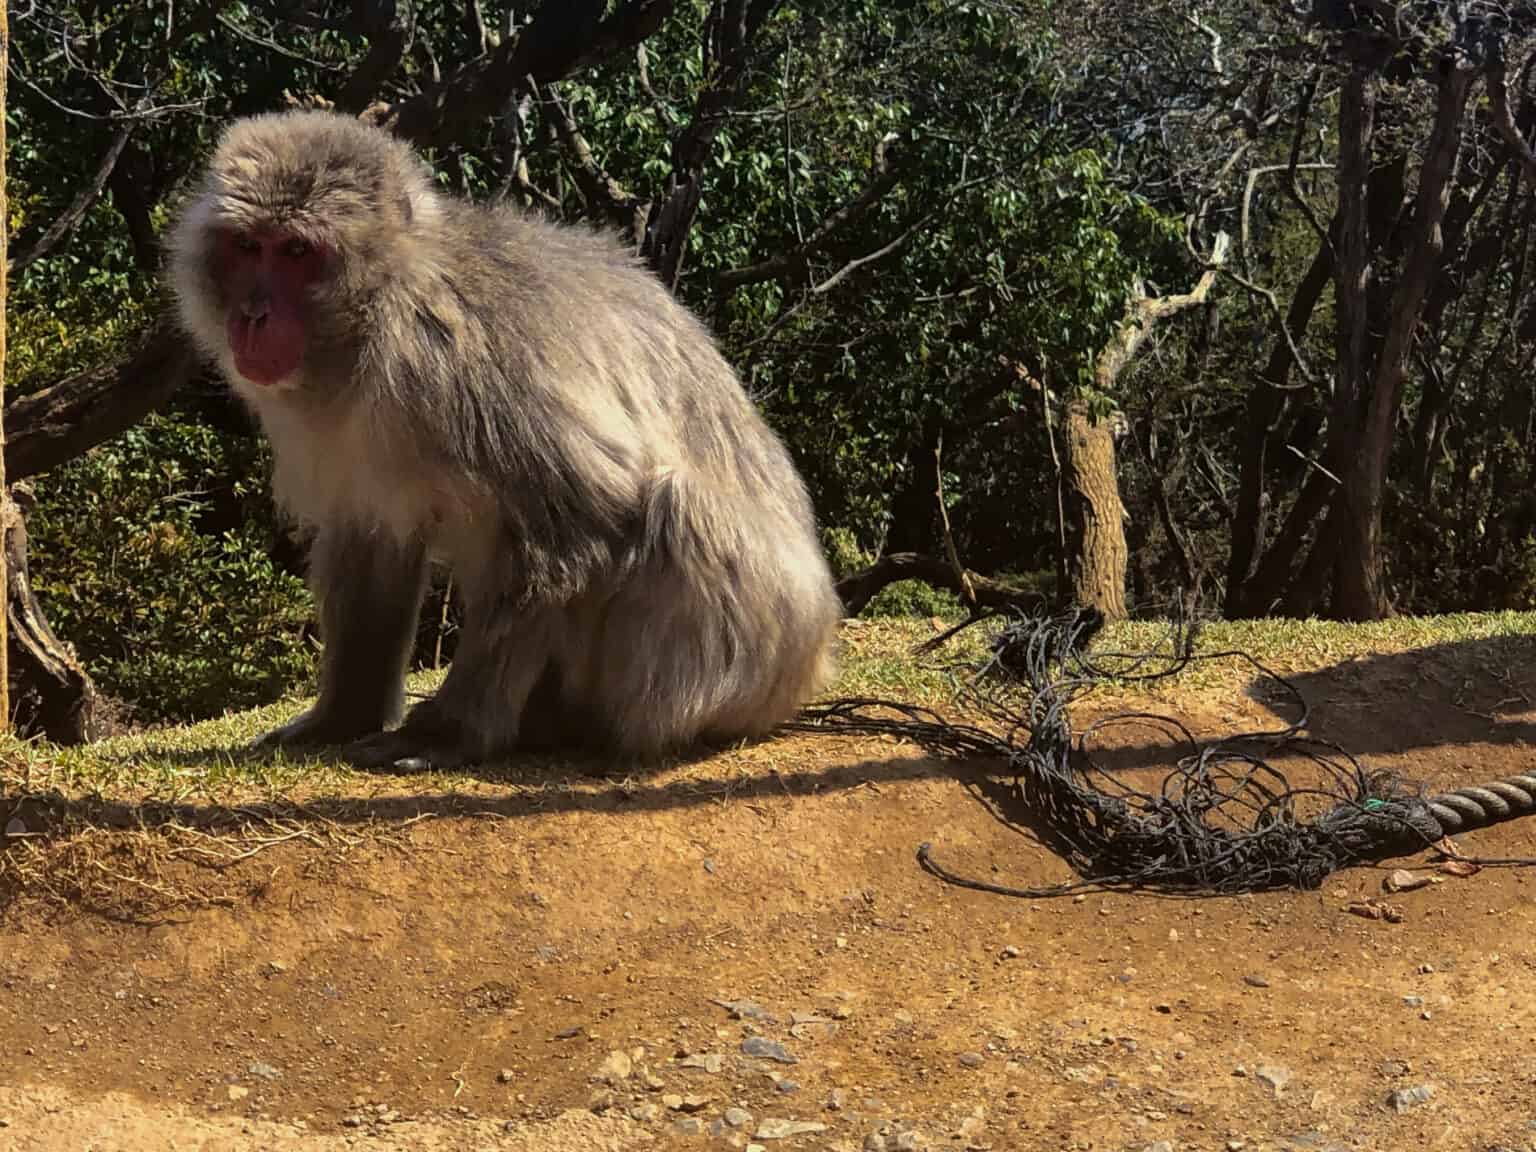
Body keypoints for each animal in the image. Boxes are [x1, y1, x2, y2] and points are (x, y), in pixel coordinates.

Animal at [164, 109, 845, 771]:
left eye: (297, 251)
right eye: (248, 246)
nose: (253, 314)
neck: (382, 309)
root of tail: (812, 654)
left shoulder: (458, 361)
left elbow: (576, 524)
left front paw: (444, 732)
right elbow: (374, 536)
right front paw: (343, 717)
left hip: (758, 658)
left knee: (672, 511)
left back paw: (584, 728)